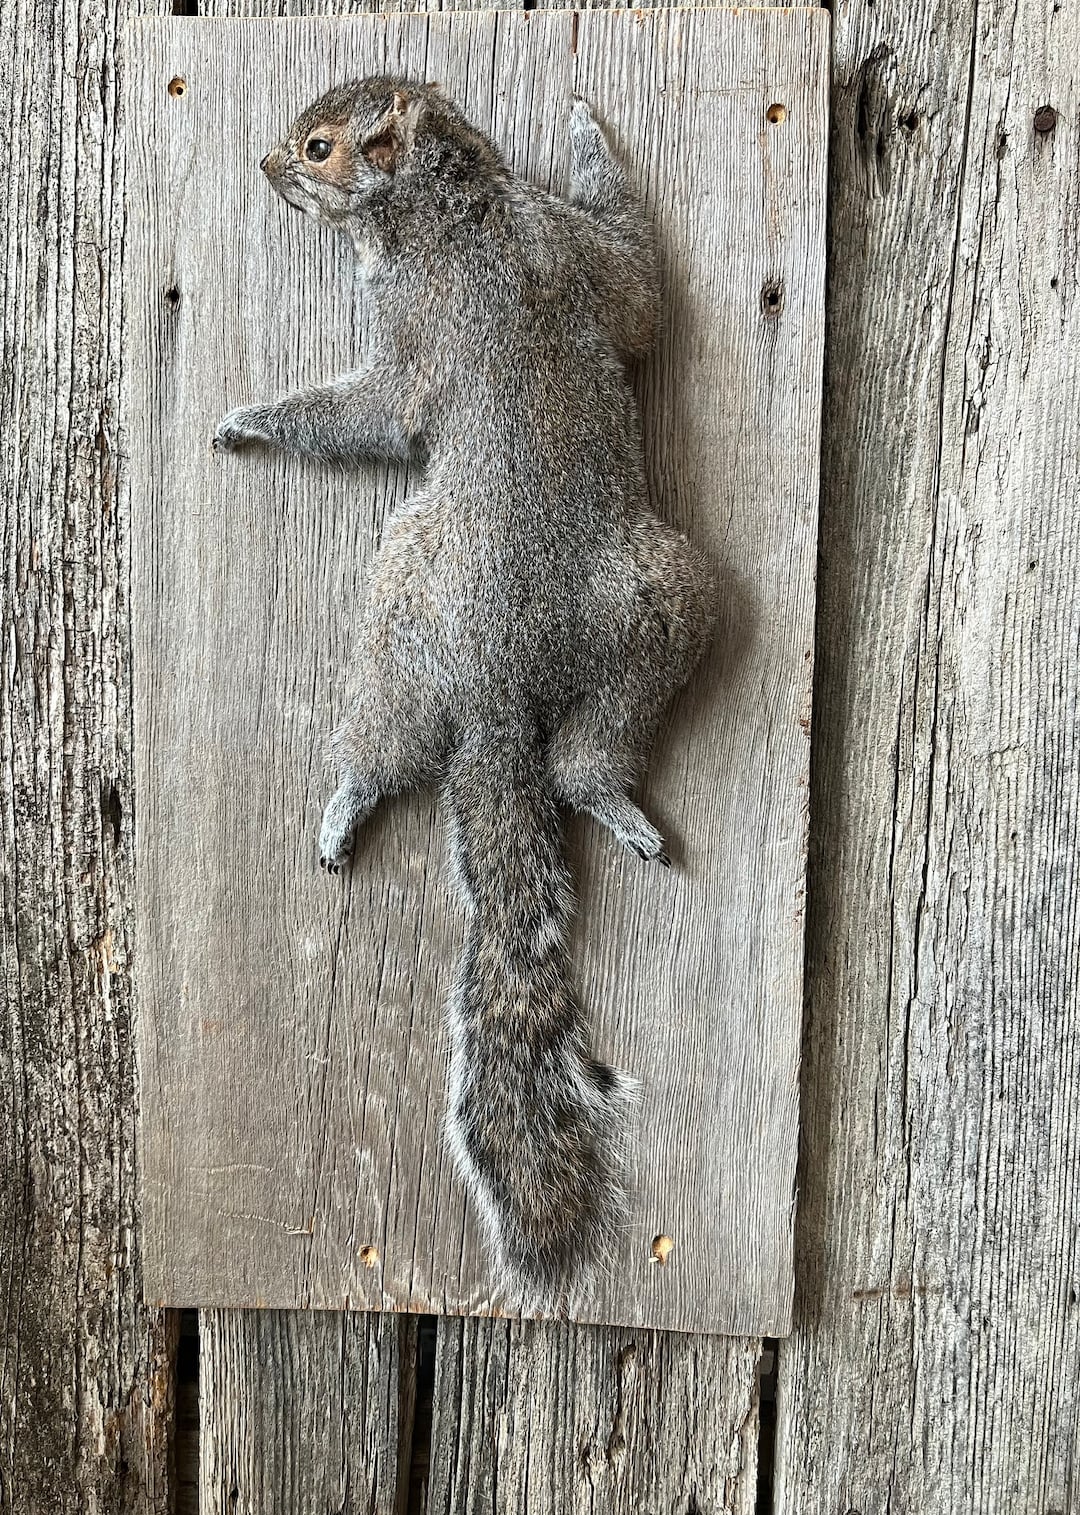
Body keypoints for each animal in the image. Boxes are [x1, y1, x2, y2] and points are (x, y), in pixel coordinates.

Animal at [213, 78, 718, 1308]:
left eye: (320, 146)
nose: (265, 166)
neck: (469, 206)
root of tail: (502, 682)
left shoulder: (410, 320)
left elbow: (380, 407)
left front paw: (255, 418)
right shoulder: (576, 248)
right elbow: (640, 295)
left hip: (404, 591)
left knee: (391, 738)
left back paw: (347, 799)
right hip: (660, 605)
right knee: (587, 755)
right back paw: (607, 796)